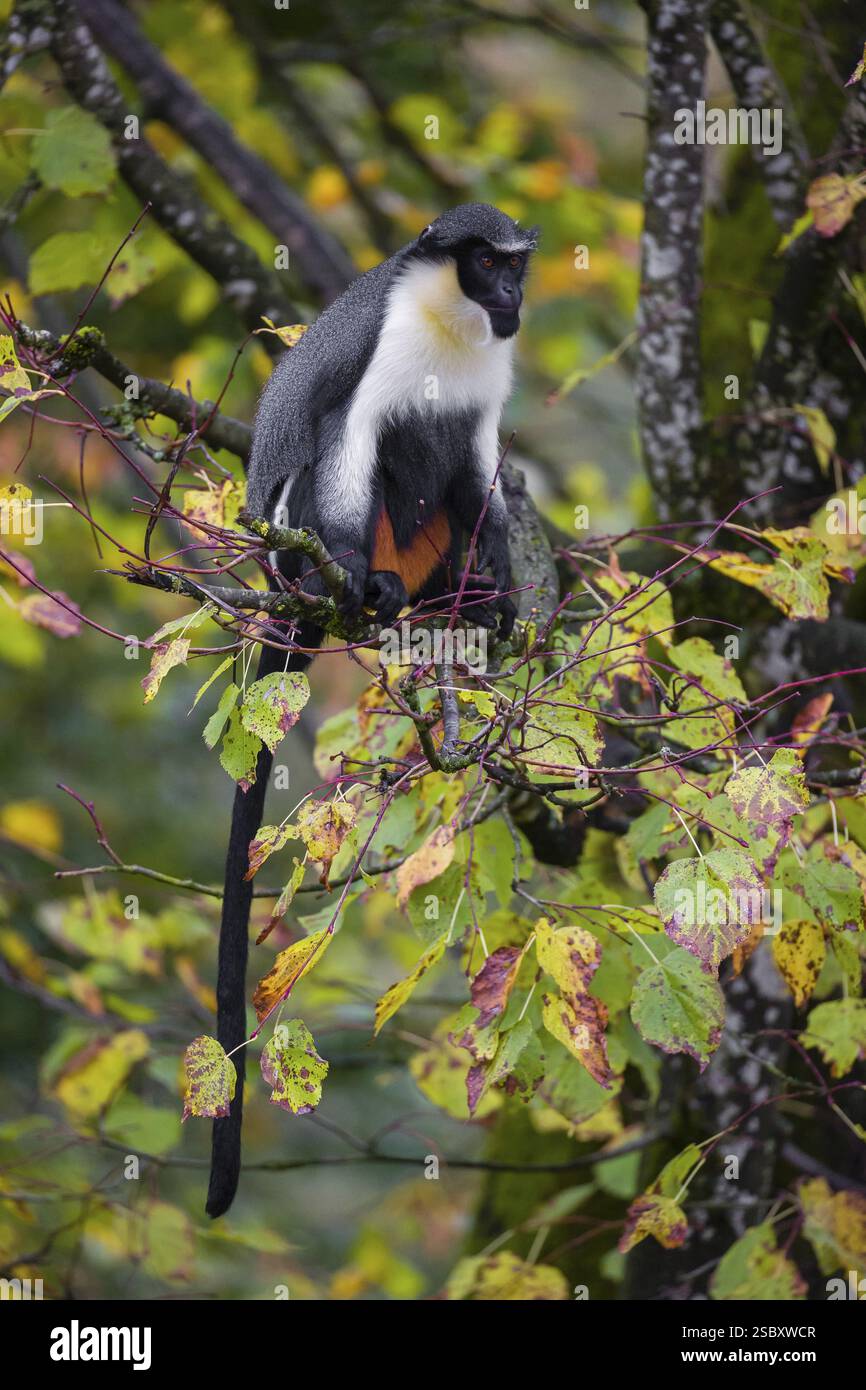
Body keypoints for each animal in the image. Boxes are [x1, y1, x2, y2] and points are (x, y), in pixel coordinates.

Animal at [206, 203, 538, 1218]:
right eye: (482, 261)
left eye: (515, 265)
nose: (510, 297)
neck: (452, 320)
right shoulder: (384, 346)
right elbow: (347, 431)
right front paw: (361, 573)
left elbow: (477, 467)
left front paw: (501, 592)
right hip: (292, 540)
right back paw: (370, 590)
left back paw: (461, 603)